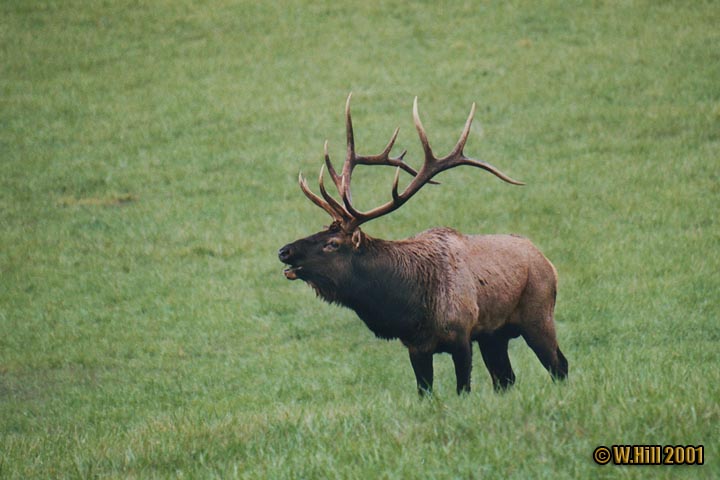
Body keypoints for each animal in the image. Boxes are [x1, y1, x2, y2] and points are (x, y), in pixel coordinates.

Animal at [278, 94, 568, 395]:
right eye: (321, 230)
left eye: (332, 243)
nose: (284, 251)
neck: (408, 305)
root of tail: (548, 262)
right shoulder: (416, 347)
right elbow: (424, 392)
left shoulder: (461, 335)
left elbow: (463, 388)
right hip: (494, 335)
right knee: (506, 379)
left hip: (539, 315)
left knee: (559, 365)